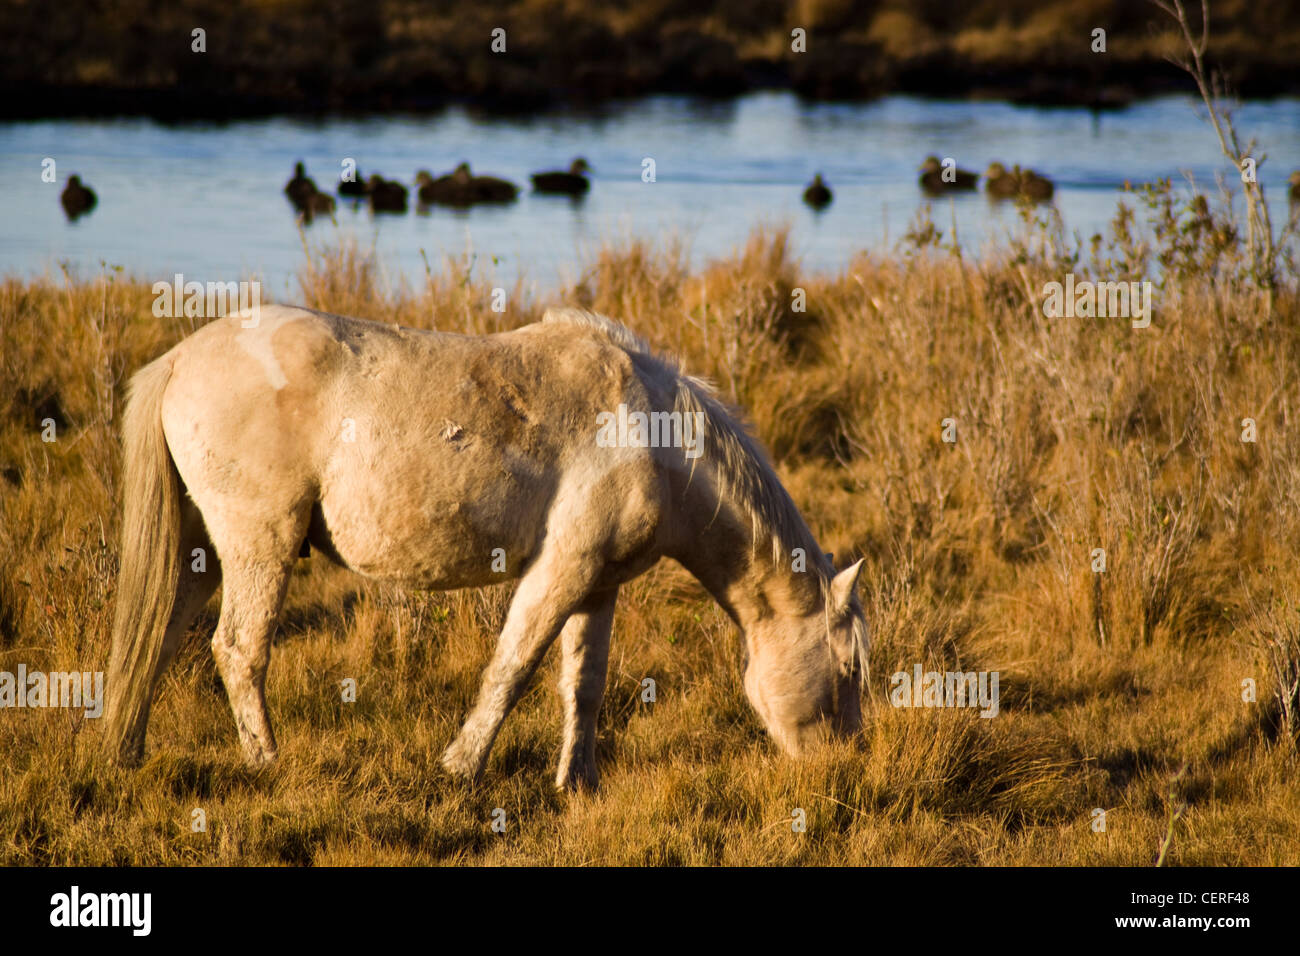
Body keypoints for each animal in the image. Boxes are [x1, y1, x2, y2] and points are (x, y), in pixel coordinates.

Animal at [101, 305, 868, 791]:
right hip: (259, 546)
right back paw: (265, 764)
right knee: (237, 649)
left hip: (200, 552)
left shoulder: (598, 584)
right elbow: (512, 670)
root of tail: (178, 360)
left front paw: (577, 784)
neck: (649, 430)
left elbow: (583, 685)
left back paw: (127, 753)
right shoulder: (561, 571)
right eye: (846, 669)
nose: (844, 765)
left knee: (159, 637)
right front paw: (460, 769)